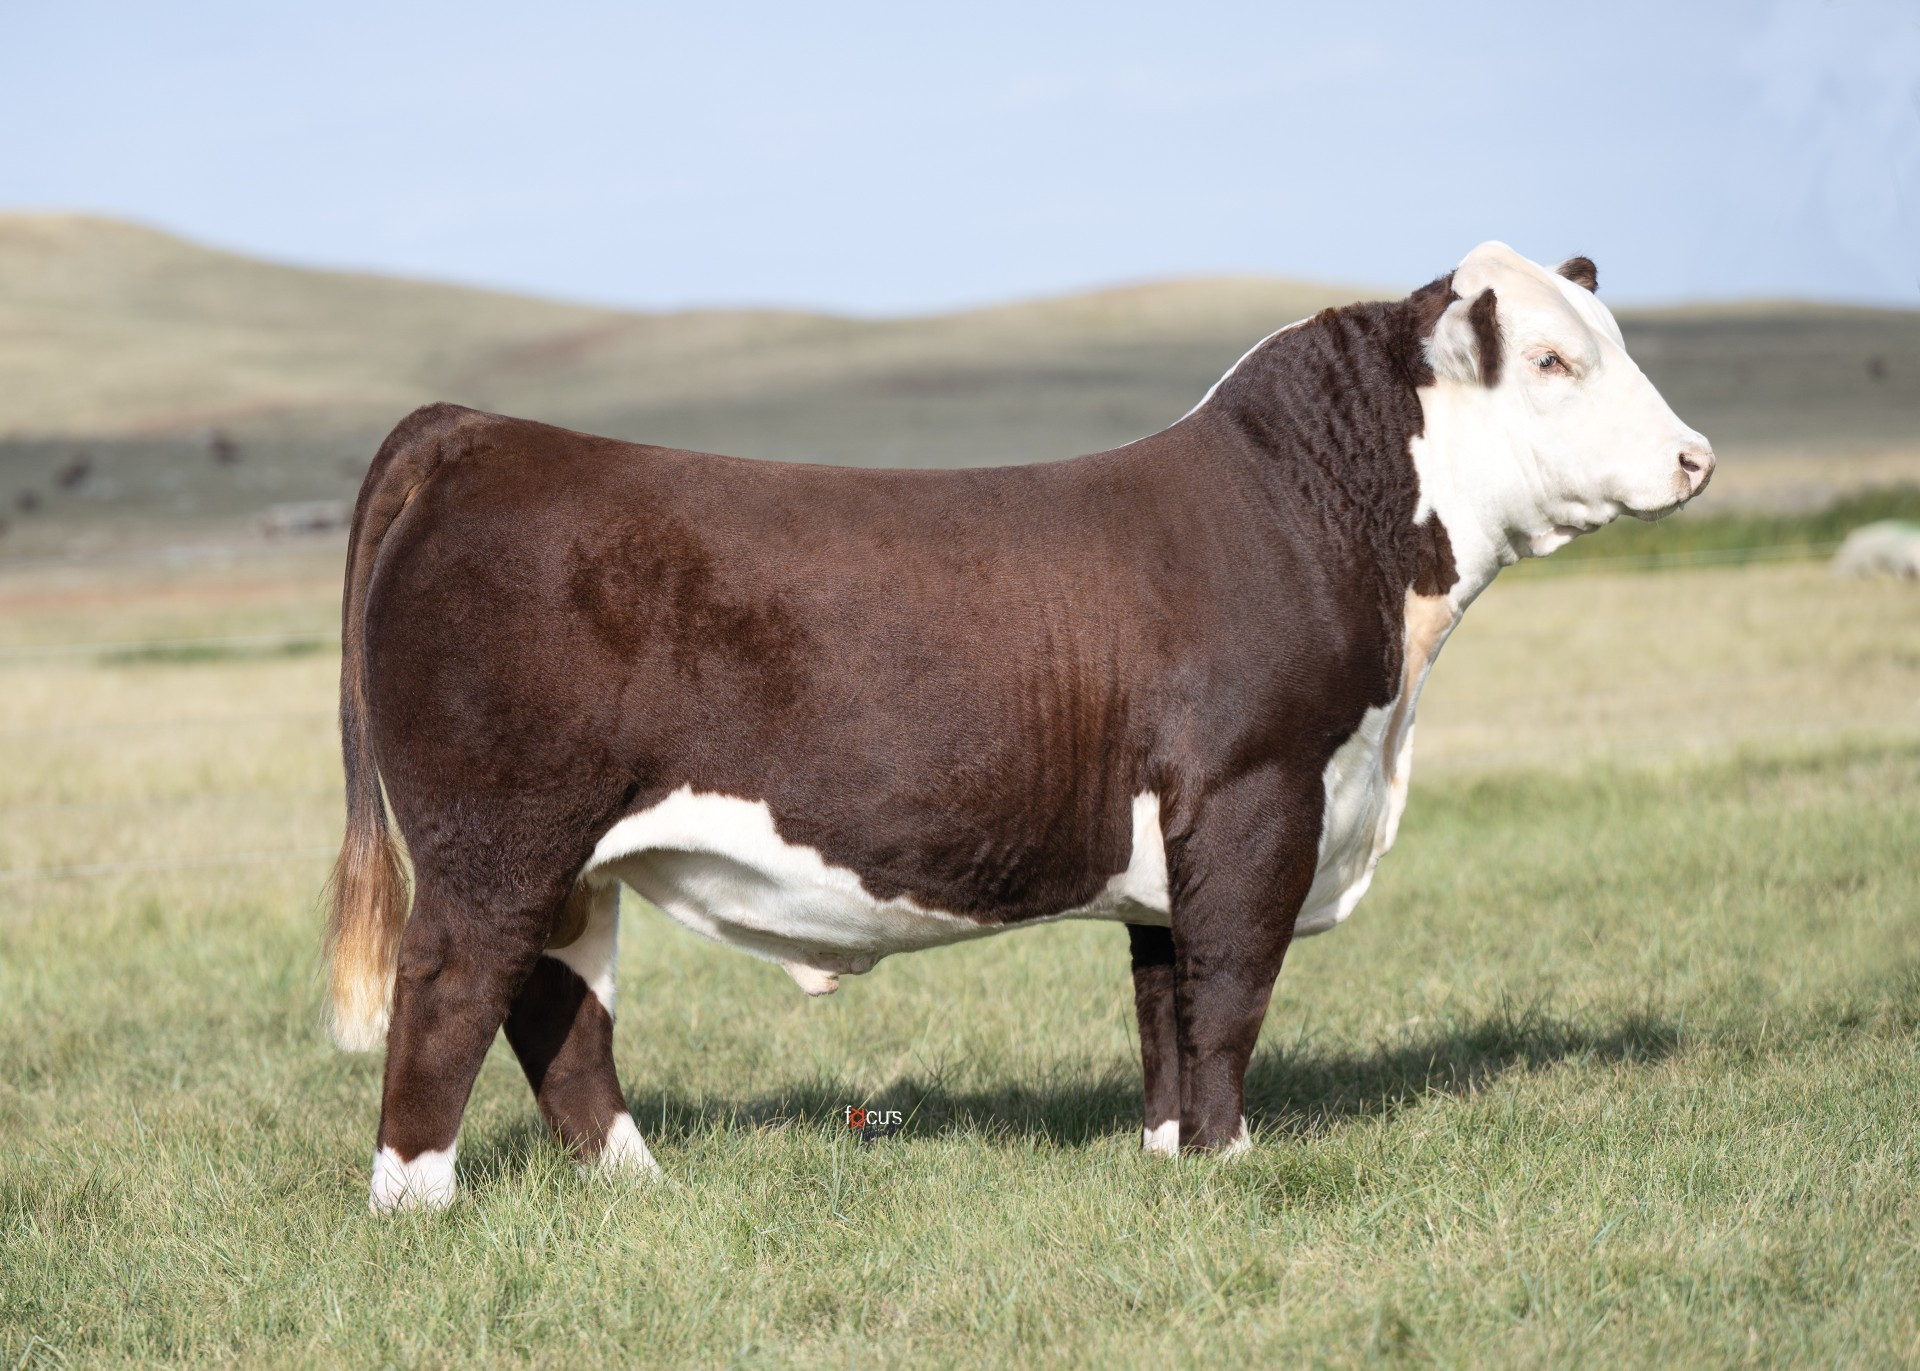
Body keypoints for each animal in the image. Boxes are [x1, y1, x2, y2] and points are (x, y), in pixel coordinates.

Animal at [325, 242, 1714, 1211]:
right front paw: (1234, 1160)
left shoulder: (1172, 840)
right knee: (449, 989)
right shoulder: (1257, 794)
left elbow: (1166, 1004)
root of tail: (477, 432)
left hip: (571, 859)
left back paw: (641, 1187)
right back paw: (419, 1204)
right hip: (497, 835)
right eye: (1553, 361)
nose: (1697, 456)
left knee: (559, 1014)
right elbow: (1231, 990)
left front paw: (1171, 1160)